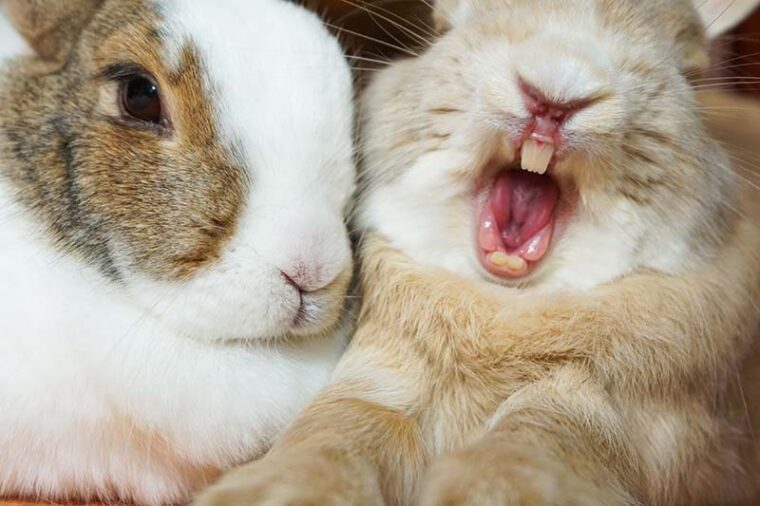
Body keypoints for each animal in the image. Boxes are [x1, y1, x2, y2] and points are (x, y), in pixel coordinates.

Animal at [193, 0, 760, 505]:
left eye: (685, 69)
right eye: (444, 27)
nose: (554, 94)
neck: (500, 303)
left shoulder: (610, 414)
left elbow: (531, 445)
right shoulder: (377, 380)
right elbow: (339, 431)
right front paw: (271, 491)